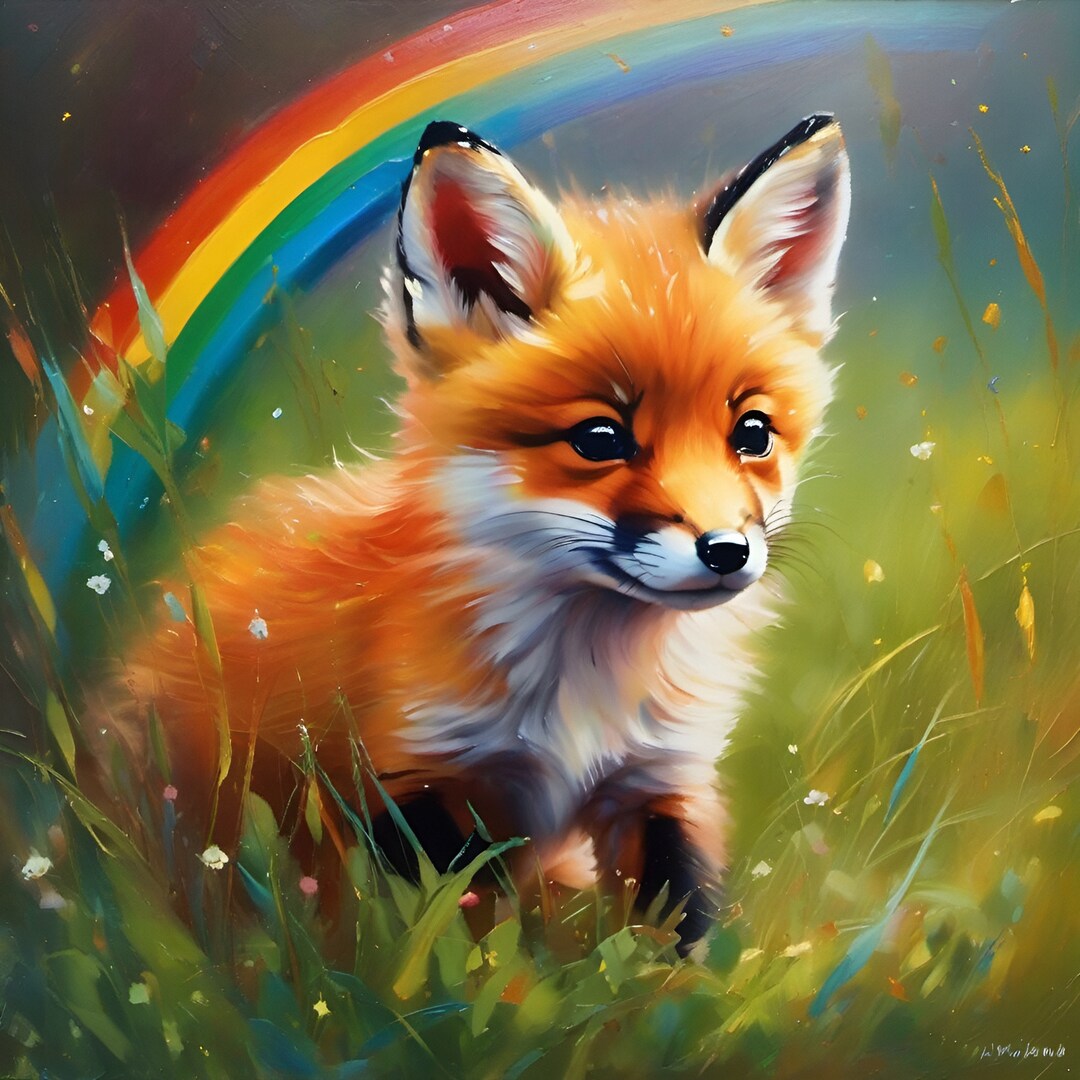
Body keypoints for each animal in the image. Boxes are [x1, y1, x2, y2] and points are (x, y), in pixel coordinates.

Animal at [105, 115, 850, 955]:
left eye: (752, 433)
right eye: (599, 438)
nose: (726, 552)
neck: (584, 692)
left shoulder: (660, 782)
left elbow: (660, 950)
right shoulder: (417, 785)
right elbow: (455, 949)